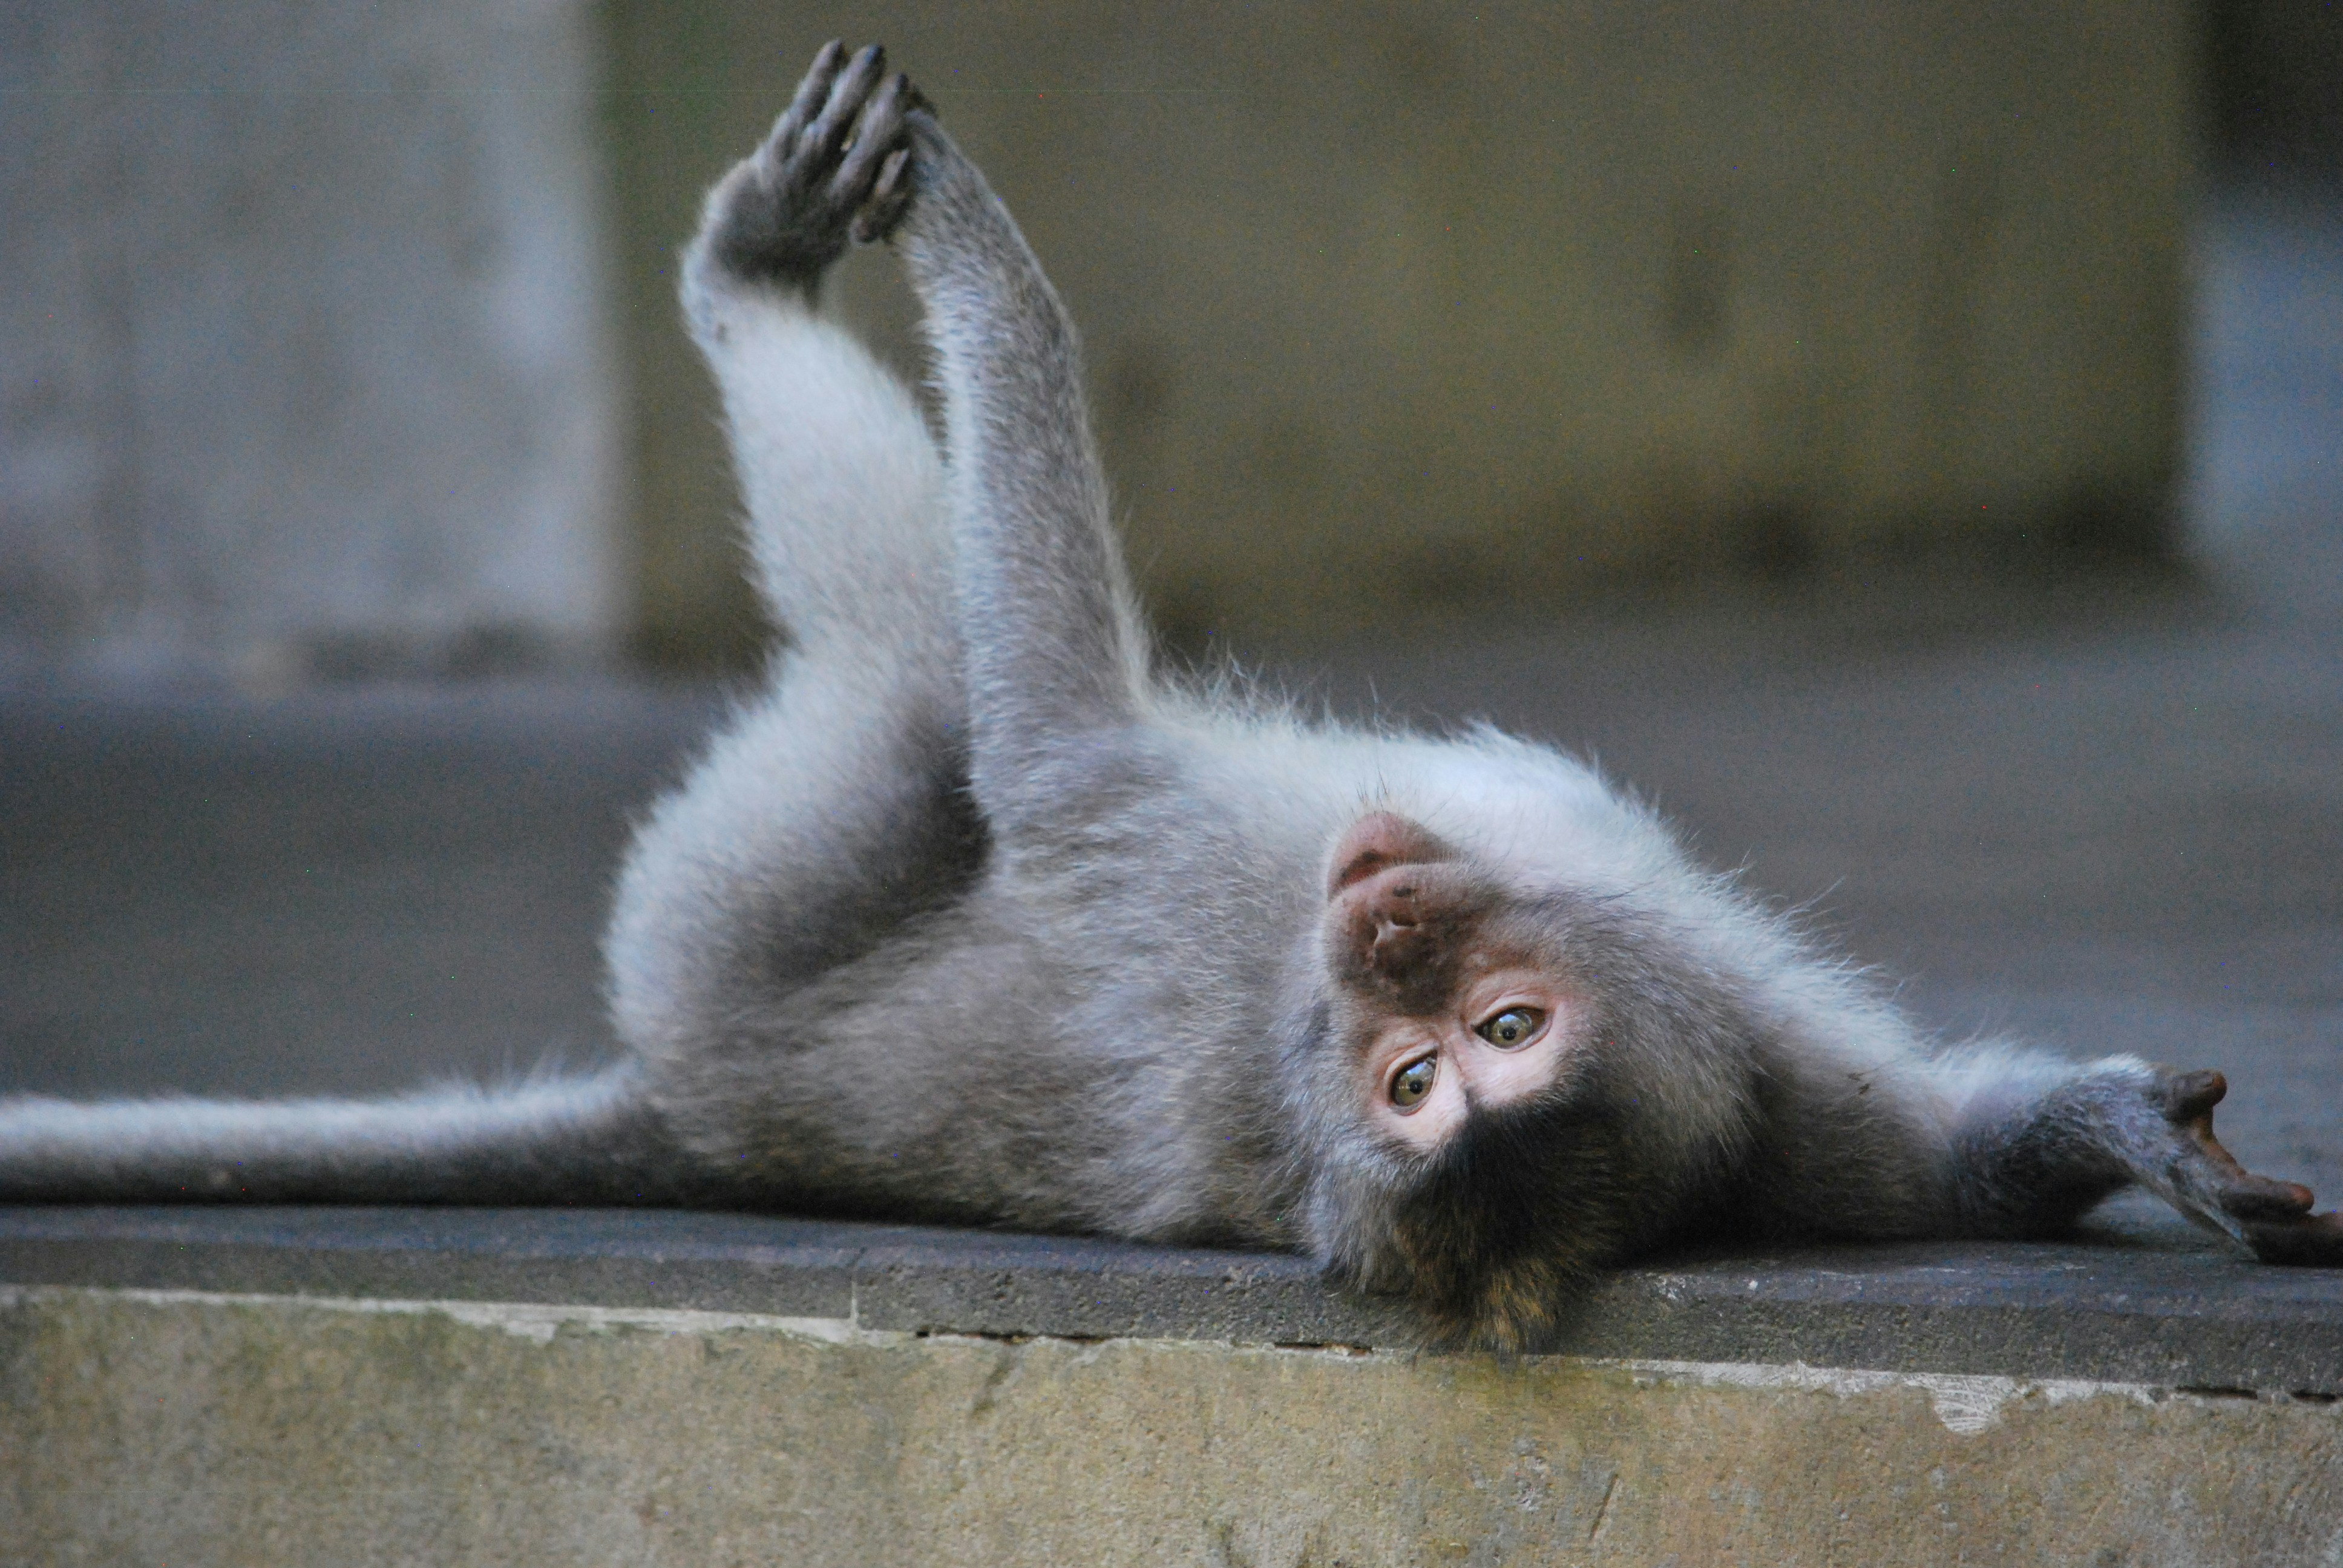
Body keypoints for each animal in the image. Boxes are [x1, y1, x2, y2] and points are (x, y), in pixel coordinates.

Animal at [2, 43, 2337, 1349]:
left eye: (1466, 1063)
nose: (1384, 927)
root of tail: (704, 1109)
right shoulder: (1761, 1088)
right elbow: (1942, 1158)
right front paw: (2151, 1148)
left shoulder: (1208, 877)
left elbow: (1049, 738)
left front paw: (971, 245)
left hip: (729, 905)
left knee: (909, 681)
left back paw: (746, 276)